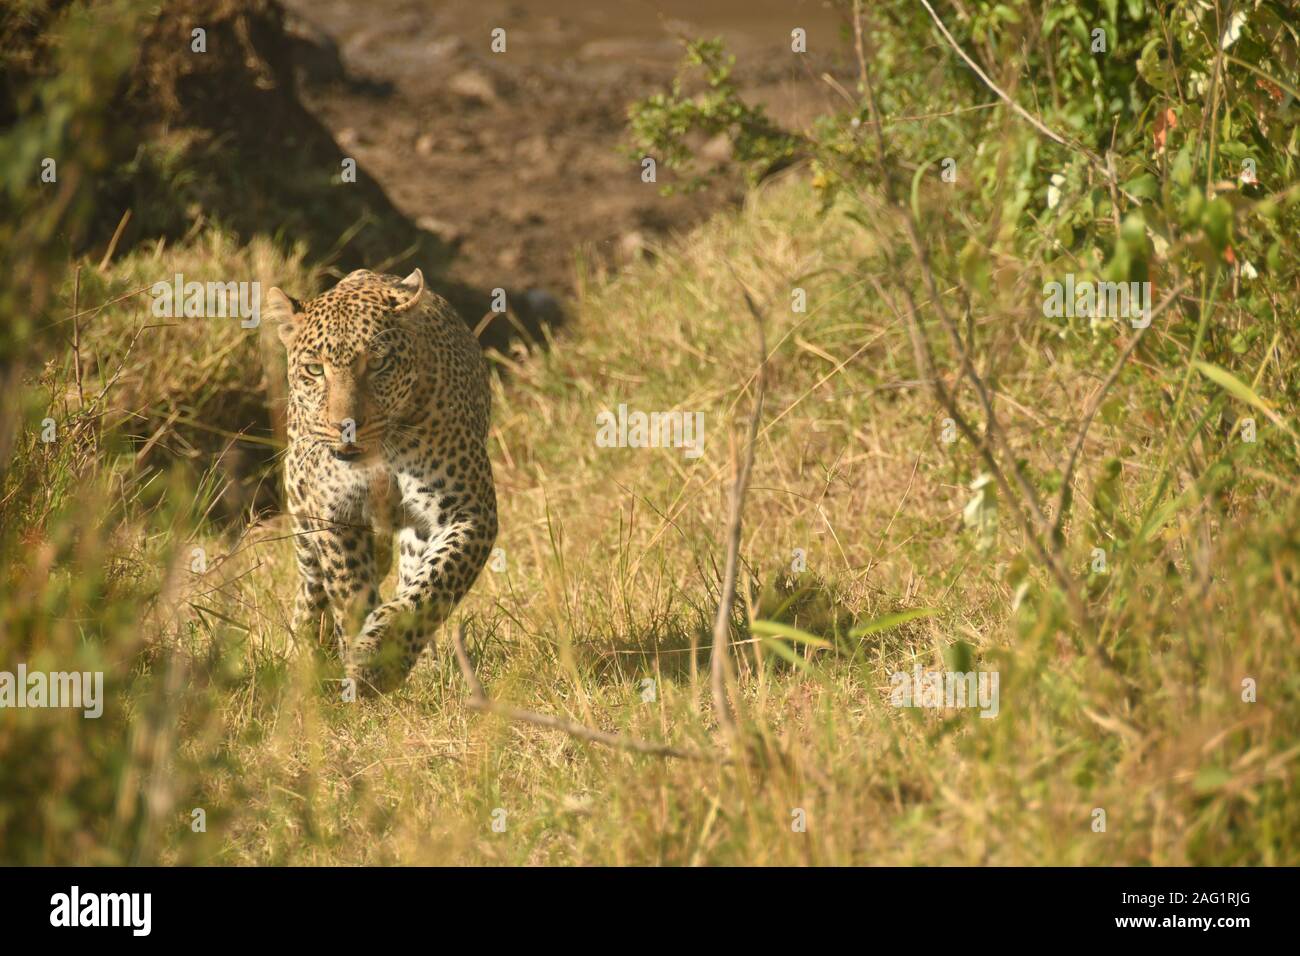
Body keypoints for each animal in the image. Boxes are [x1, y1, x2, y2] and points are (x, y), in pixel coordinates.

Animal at [266, 267, 497, 695]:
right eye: (314, 370)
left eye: (377, 365)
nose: (345, 426)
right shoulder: (334, 514)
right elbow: (350, 591)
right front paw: (355, 655)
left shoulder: (468, 512)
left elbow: (432, 587)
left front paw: (379, 660)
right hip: (302, 515)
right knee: (311, 586)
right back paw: (304, 652)